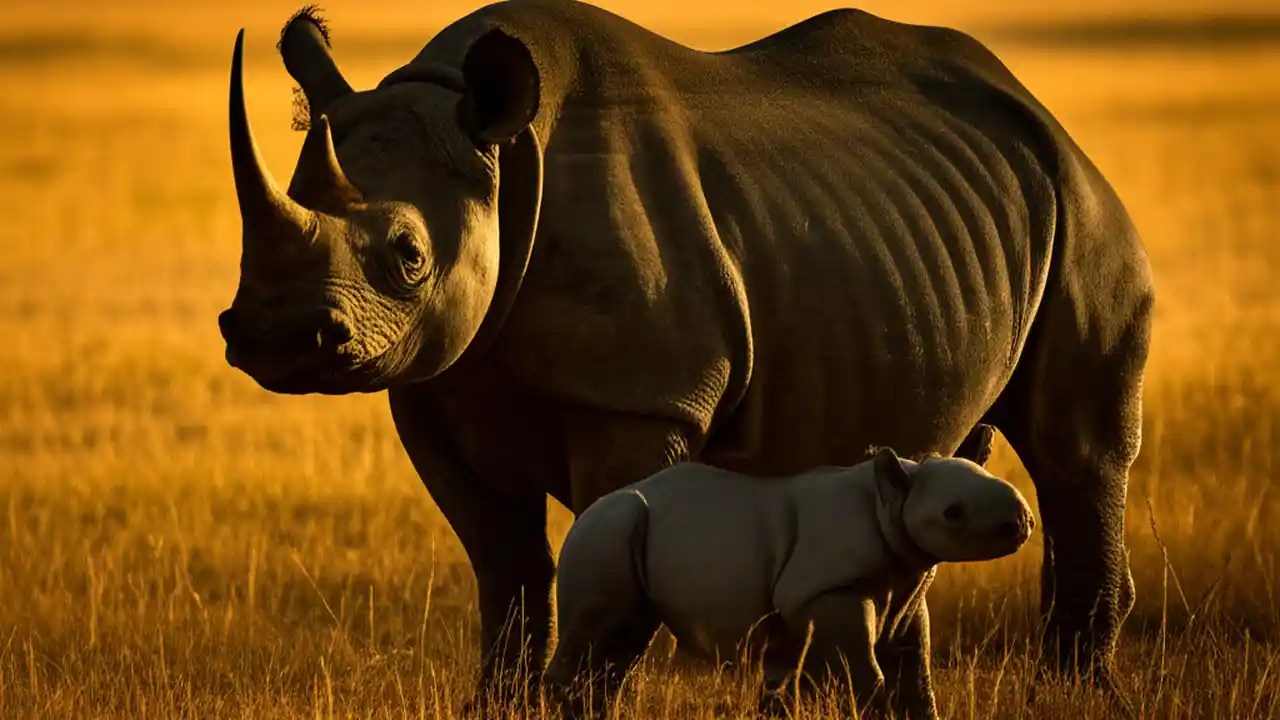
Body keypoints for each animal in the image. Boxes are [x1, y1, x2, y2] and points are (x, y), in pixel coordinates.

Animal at [217, 0, 1154, 707]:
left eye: (409, 255)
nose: (273, 337)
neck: (497, 159)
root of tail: (1034, 105)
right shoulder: (438, 385)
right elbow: (504, 566)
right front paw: (497, 708)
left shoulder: (642, 396)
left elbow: (603, 570)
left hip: (1083, 204)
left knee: (1078, 455)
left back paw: (1074, 699)